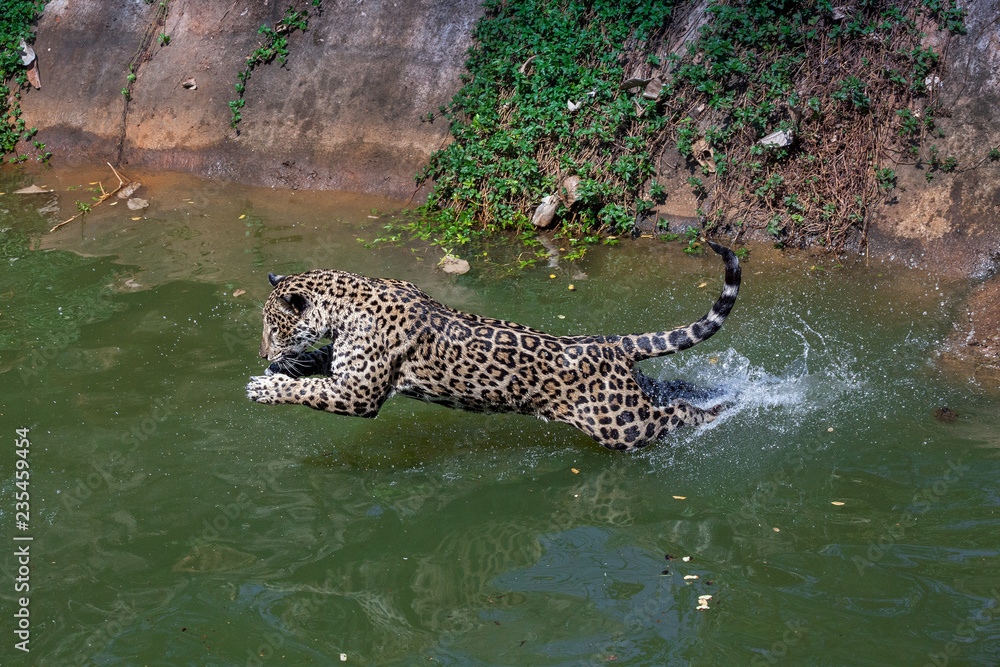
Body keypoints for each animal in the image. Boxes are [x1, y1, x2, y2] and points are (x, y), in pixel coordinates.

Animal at [246, 241, 741, 451]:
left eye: (271, 326)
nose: (262, 353)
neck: (344, 303)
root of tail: (610, 342)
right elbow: (316, 360)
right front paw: (281, 368)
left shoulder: (358, 394)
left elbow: (309, 391)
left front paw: (264, 386)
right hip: (633, 393)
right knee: (673, 389)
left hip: (621, 425)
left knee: (678, 415)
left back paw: (726, 413)